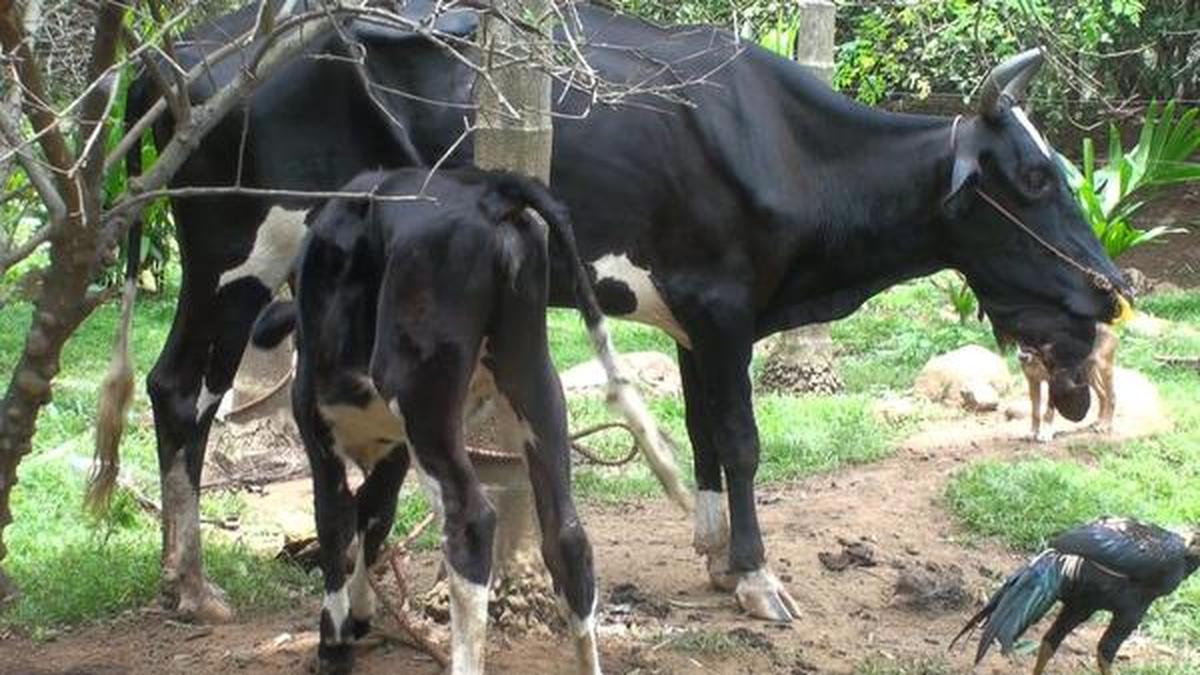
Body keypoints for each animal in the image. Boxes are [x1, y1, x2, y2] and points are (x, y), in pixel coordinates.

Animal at [249, 167, 607, 675]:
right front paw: (359, 614)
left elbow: (335, 522)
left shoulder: (319, 433)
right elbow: (375, 514)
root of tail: (487, 189)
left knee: (471, 520)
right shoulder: (395, 451)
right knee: (568, 537)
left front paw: (333, 643)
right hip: (533, 380)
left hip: (422, 398)